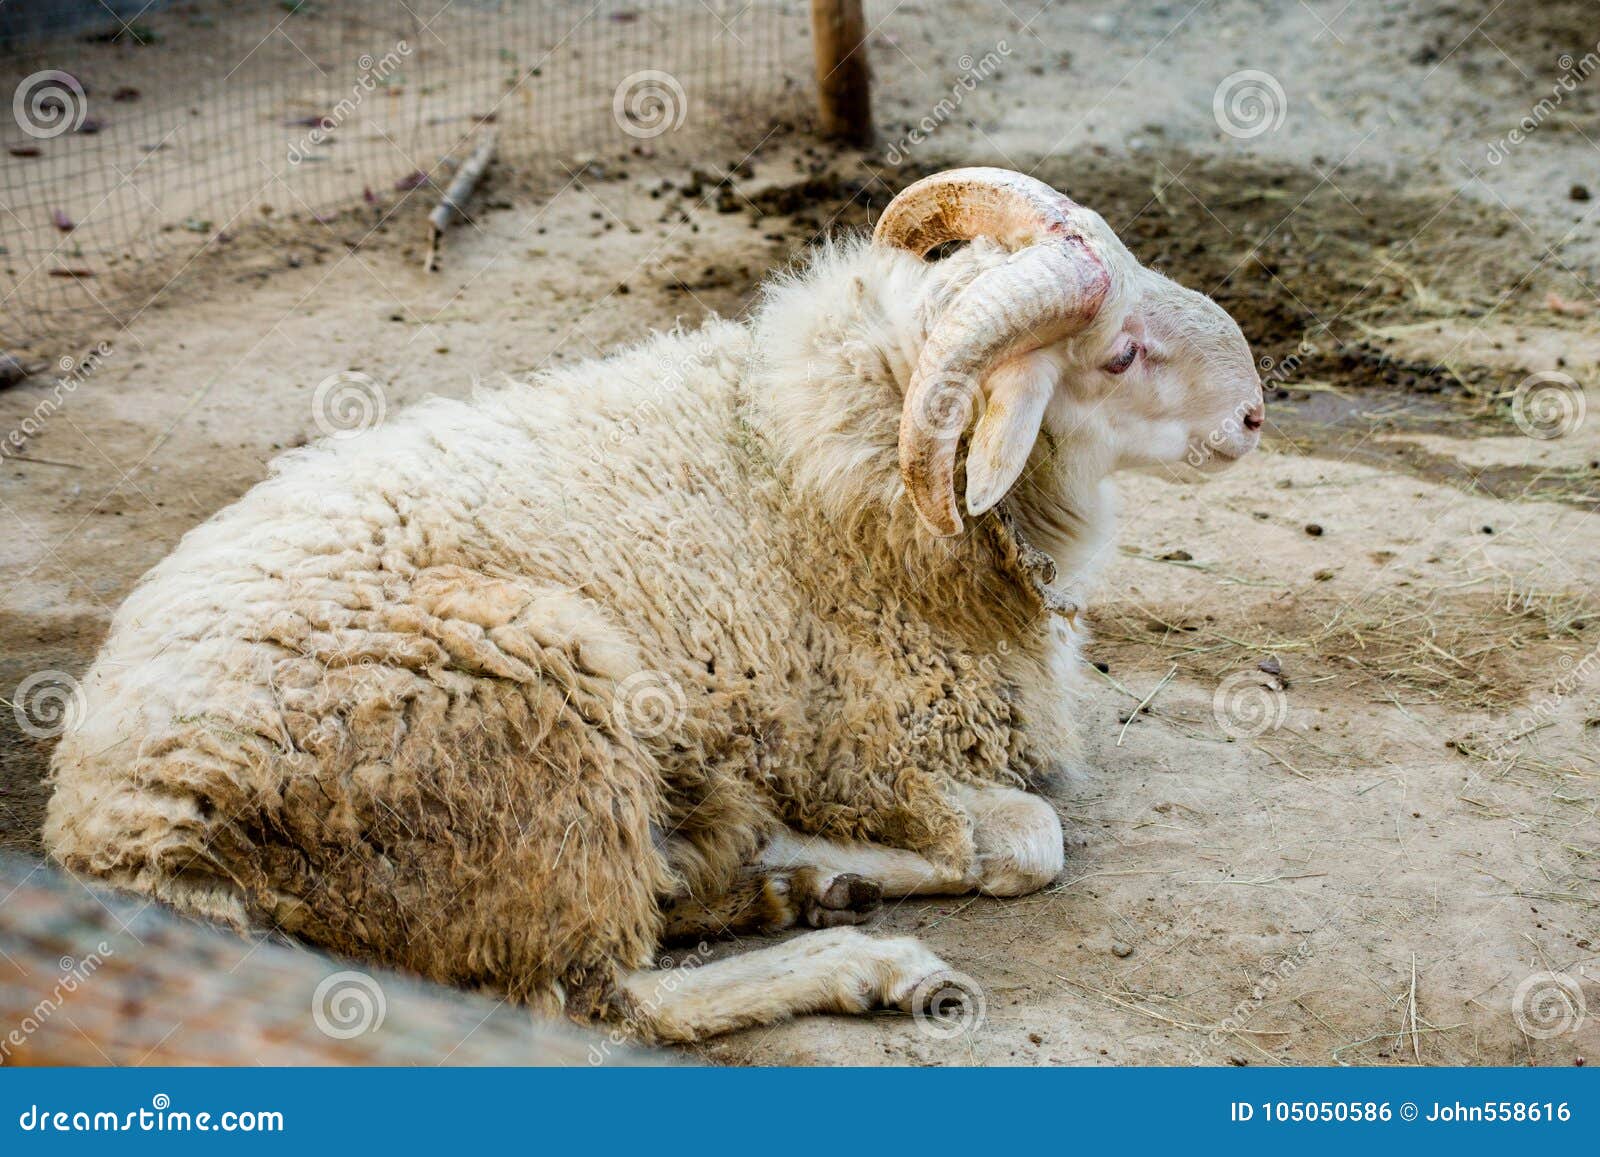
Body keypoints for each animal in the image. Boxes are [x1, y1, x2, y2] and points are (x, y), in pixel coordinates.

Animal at [43, 167, 1263, 1042]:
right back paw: (852, 949)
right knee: (596, 1001)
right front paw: (823, 852)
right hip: (541, 732)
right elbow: (1022, 840)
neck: (809, 452)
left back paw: (759, 888)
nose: (1256, 411)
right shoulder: (862, 748)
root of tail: (123, 835)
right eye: (1121, 352)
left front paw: (787, 861)